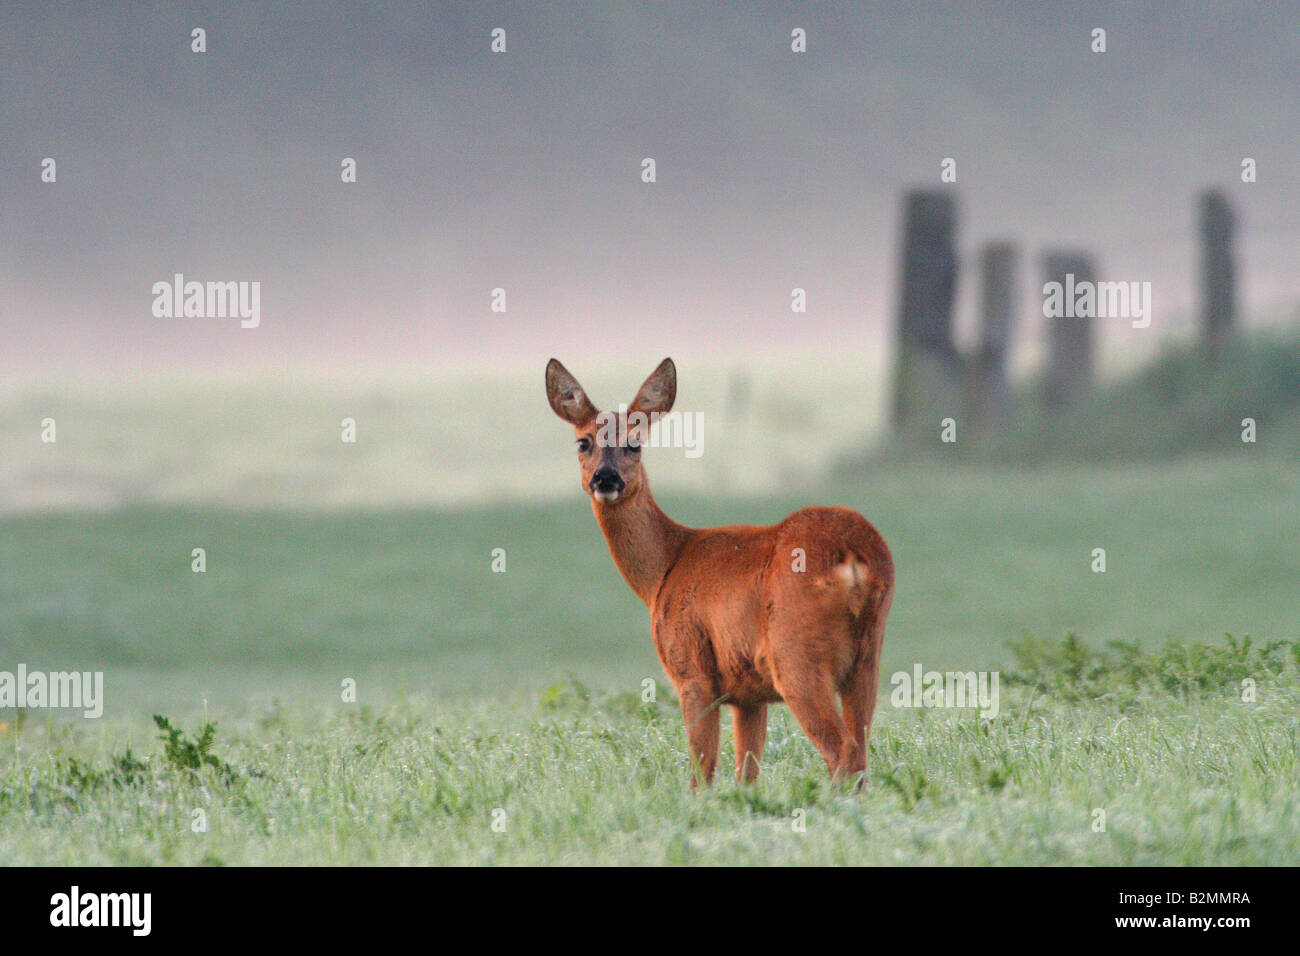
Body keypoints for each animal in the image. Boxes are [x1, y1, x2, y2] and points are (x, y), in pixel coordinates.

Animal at [545, 357, 894, 788]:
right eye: (583, 442)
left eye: (635, 443)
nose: (606, 478)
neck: (664, 568)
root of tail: (854, 557)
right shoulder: (749, 694)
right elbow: (747, 772)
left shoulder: (692, 671)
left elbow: (701, 774)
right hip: (867, 657)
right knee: (860, 751)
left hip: (795, 654)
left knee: (841, 750)